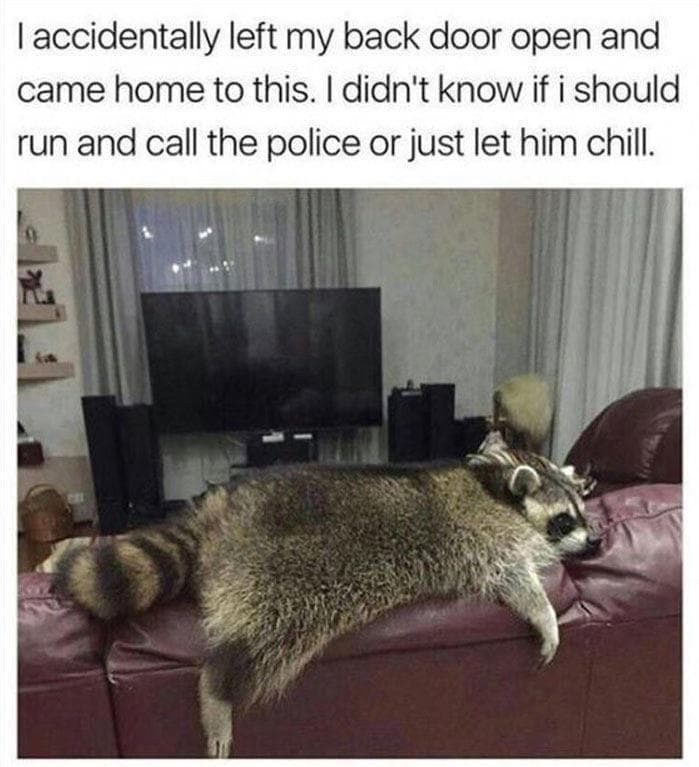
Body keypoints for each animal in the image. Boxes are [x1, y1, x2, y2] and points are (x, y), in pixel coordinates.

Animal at [55, 455, 597, 758]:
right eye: (565, 520)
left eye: (585, 512)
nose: (597, 540)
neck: (497, 490)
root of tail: (223, 508)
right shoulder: (487, 535)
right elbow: (513, 577)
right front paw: (546, 614)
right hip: (283, 578)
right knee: (261, 638)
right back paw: (218, 690)